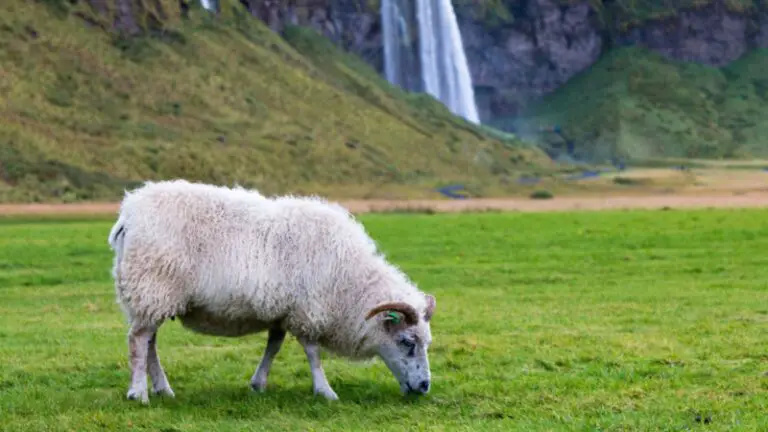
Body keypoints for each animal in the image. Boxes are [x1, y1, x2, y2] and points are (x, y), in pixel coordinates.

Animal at [107, 179, 437, 404]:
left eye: (425, 343)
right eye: (407, 342)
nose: (424, 387)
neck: (349, 283)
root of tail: (129, 214)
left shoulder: (283, 310)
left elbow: (274, 346)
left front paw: (258, 383)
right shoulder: (307, 310)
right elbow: (313, 352)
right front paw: (325, 390)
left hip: (151, 296)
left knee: (149, 342)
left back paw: (162, 389)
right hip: (152, 286)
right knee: (139, 341)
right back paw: (139, 393)